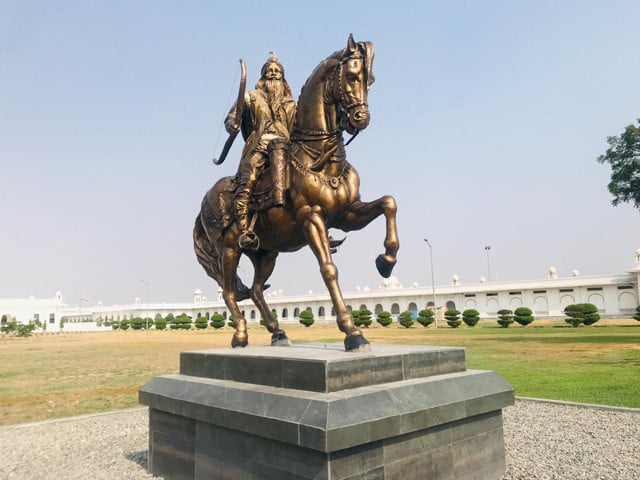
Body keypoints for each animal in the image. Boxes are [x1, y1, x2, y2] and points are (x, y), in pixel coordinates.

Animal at [192, 32, 398, 348]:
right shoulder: (310, 217)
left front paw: (386, 261)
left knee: (255, 290)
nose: (360, 119)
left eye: (370, 80)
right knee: (228, 291)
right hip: (228, 247)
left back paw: (278, 332)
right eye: (351, 76)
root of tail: (204, 203)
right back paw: (240, 335)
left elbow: (388, 203)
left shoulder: (348, 215)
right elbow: (328, 269)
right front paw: (352, 332)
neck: (320, 159)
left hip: (266, 252)